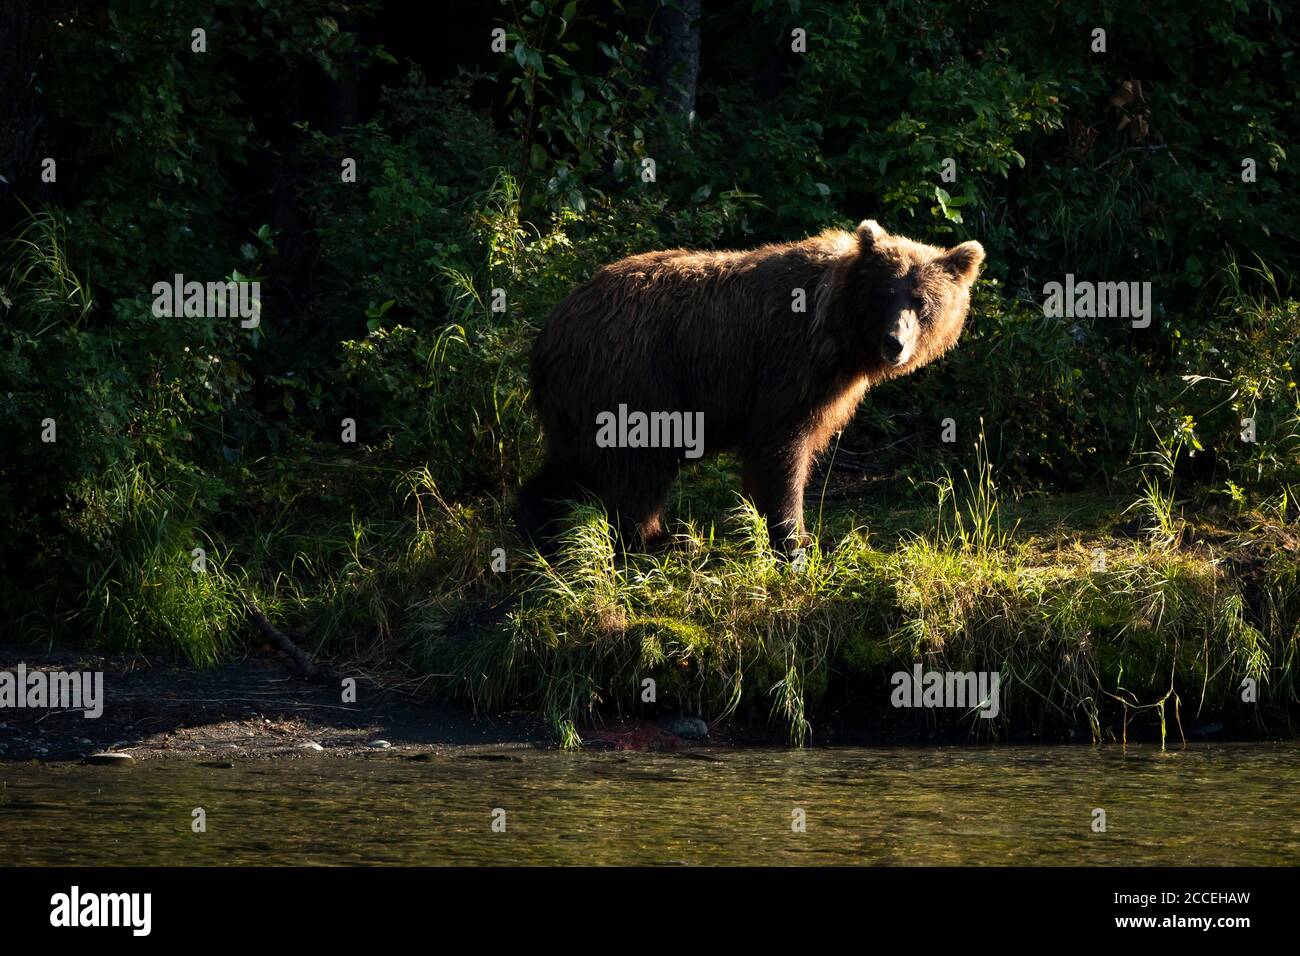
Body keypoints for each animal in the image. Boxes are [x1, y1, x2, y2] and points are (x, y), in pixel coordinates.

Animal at [517, 219, 985, 555]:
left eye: (921, 300)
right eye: (886, 292)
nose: (895, 342)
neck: (837, 335)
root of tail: (552, 328)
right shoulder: (786, 367)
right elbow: (781, 453)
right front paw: (794, 539)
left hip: (580, 399)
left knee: (570, 465)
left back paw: (538, 530)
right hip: (636, 380)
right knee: (639, 465)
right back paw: (652, 539)